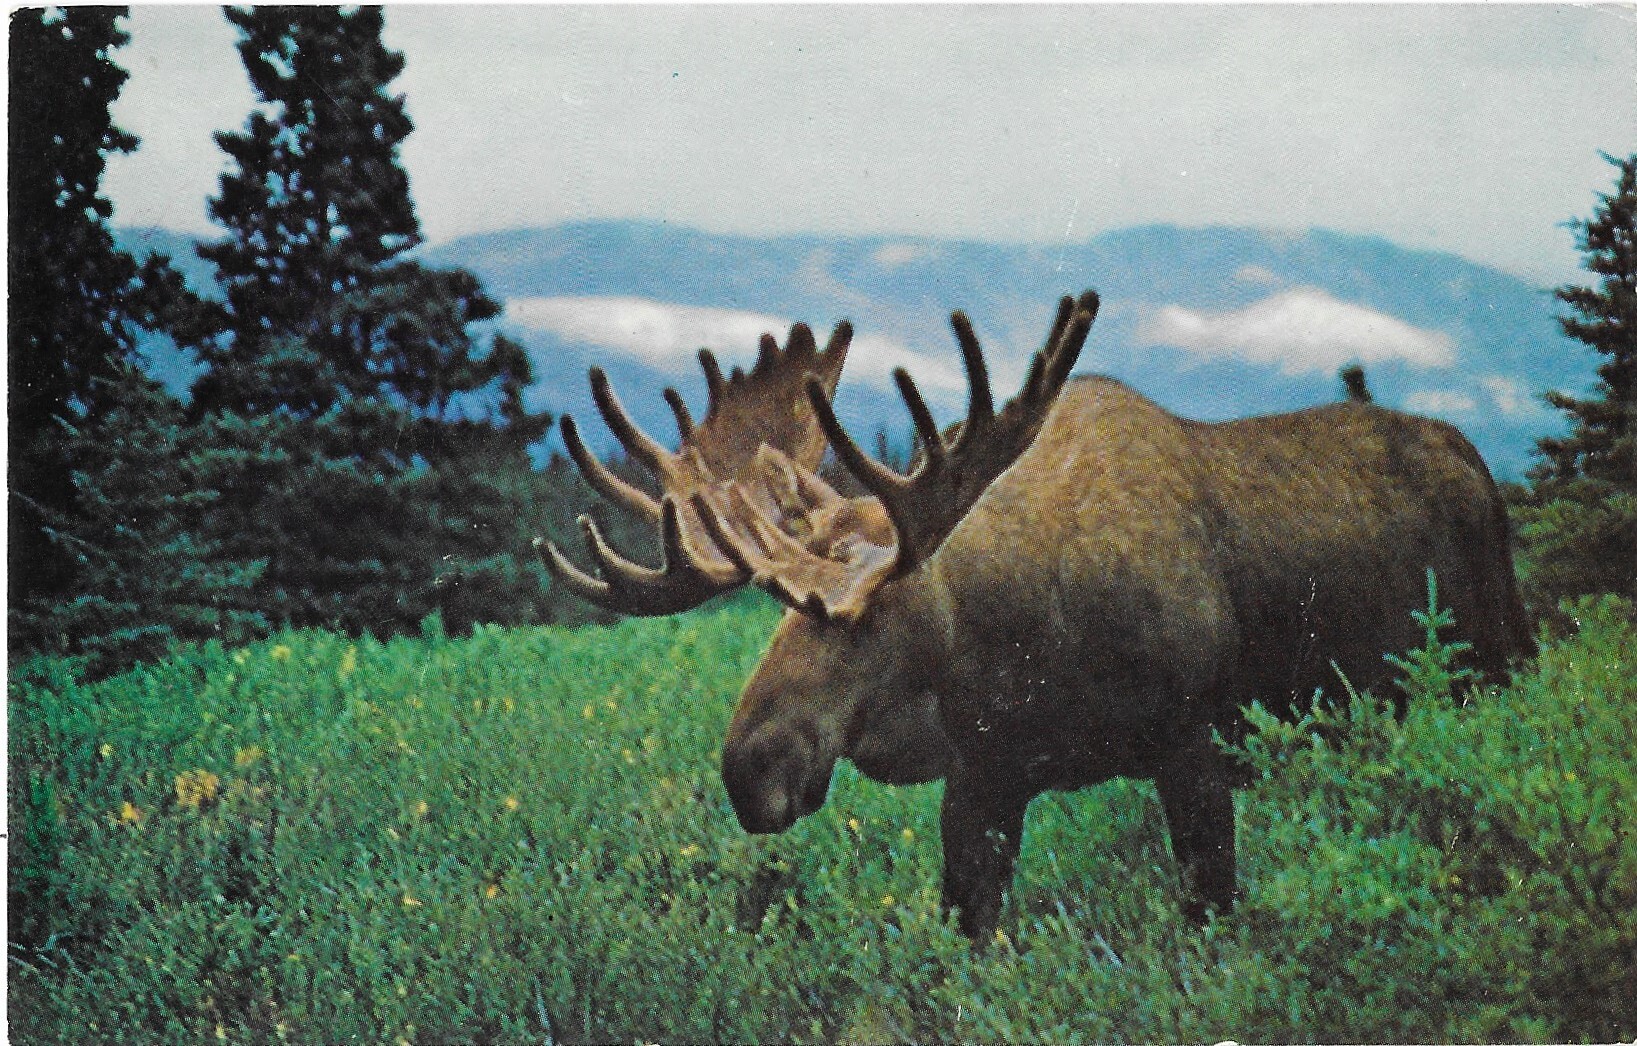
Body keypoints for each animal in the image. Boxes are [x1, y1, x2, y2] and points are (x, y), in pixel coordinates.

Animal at [540, 291, 1530, 939]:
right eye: (774, 609)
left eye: (860, 616)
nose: (750, 770)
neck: (1014, 652)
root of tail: (1476, 463)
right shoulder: (983, 780)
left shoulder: (1190, 742)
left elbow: (1212, 916)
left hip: (1494, 665)